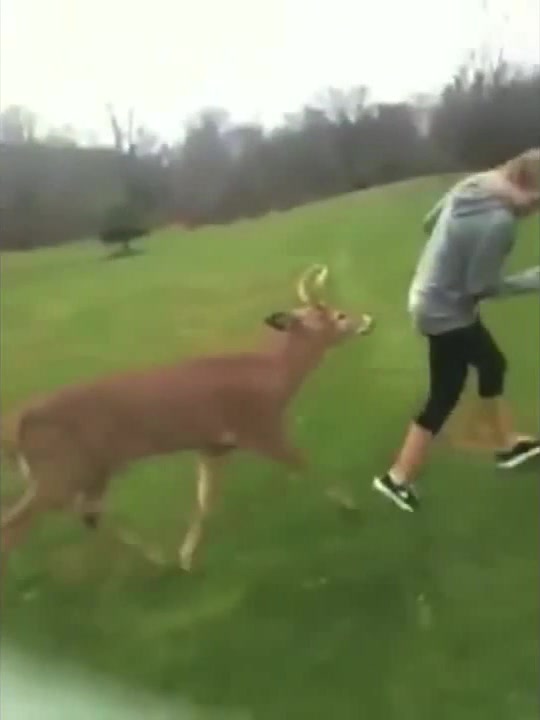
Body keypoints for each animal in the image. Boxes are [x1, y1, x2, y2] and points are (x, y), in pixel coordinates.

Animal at [1, 265, 374, 573]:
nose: (367, 321)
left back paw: (157, 558)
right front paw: (352, 506)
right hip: (59, 471)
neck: (273, 376)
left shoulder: (214, 447)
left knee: (86, 513)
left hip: (87, 470)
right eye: (339, 315)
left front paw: (186, 558)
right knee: (15, 525)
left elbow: (204, 501)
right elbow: (305, 463)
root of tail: (19, 424)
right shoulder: (259, 428)